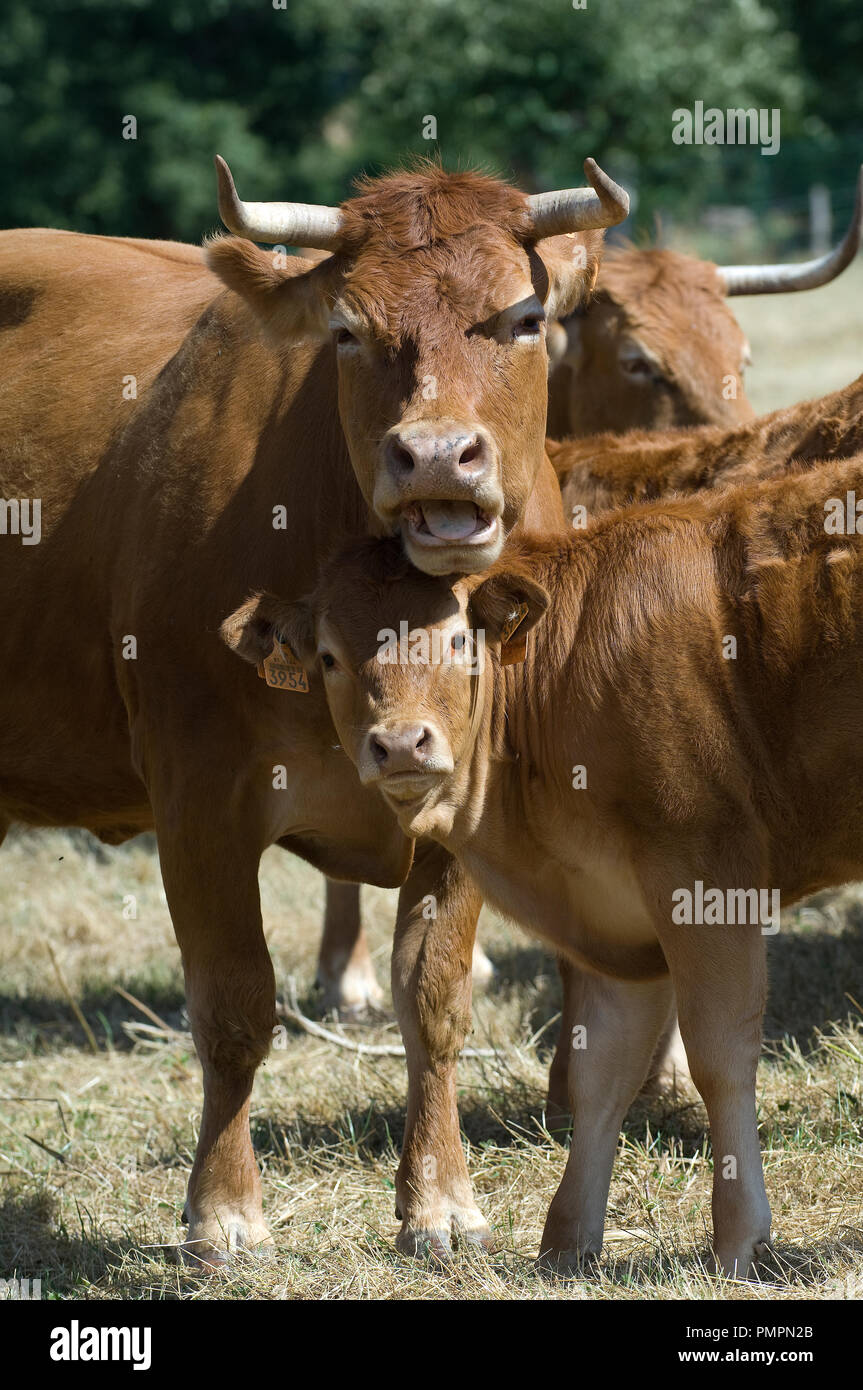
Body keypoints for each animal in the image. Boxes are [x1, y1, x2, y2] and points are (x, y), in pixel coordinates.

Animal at [0, 156, 628, 1264]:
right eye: (345, 330)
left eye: (520, 318)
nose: (435, 456)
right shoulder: (199, 797)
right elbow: (235, 1005)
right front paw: (223, 1209)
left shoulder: (468, 803)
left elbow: (434, 996)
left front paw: (439, 1198)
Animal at [256, 453, 863, 1276]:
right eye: (327, 657)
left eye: (458, 642)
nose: (401, 743)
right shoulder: (616, 913)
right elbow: (601, 1068)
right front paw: (568, 1240)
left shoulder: (705, 875)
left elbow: (718, 1055)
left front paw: (741, 1239)